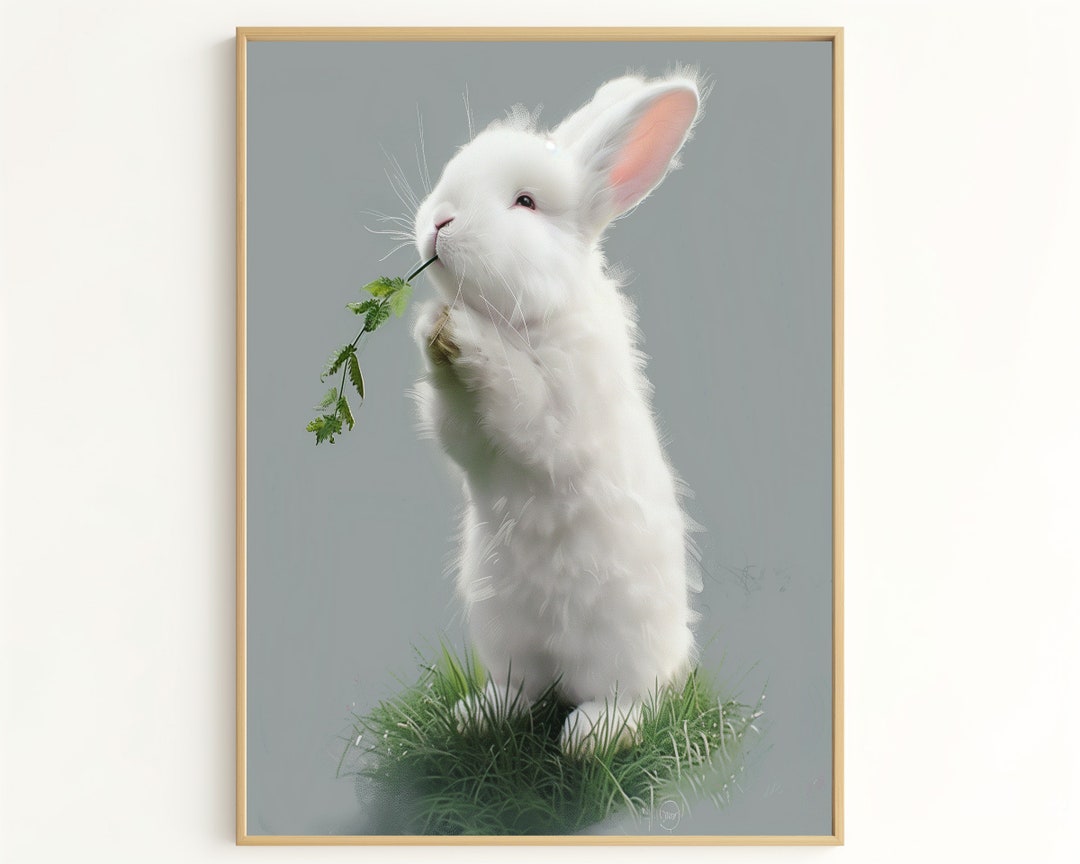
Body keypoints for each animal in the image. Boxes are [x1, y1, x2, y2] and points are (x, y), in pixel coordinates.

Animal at [409, 71, 706, 757]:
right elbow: (456, 426)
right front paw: (430, 327)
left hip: (619, 647)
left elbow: (522, 402)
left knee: (628, 698)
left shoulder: (560, 410)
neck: (525, 321)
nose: (439, 221)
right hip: (503, 632)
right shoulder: (466, 436)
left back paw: (591, 736)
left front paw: (461, 332)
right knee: (523, 689)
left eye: (525, 202)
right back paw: (476, 716)